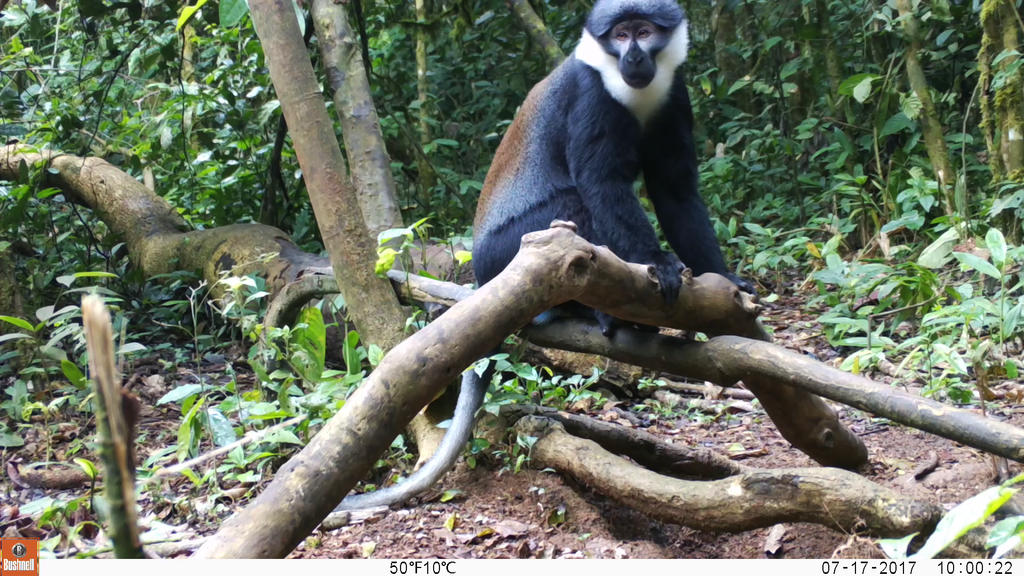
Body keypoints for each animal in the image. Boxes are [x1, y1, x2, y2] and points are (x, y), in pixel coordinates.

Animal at [335, 0, 754, 513]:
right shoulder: (591, 99)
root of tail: (483, 275)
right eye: (620, 35)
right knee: (573, 204)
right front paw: (660, 266)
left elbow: (674, 188)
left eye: (645, 32)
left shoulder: (675, 97)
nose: (634, 57)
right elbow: (602, 185)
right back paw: (607, 316)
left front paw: (725, 278)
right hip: (510, 247)